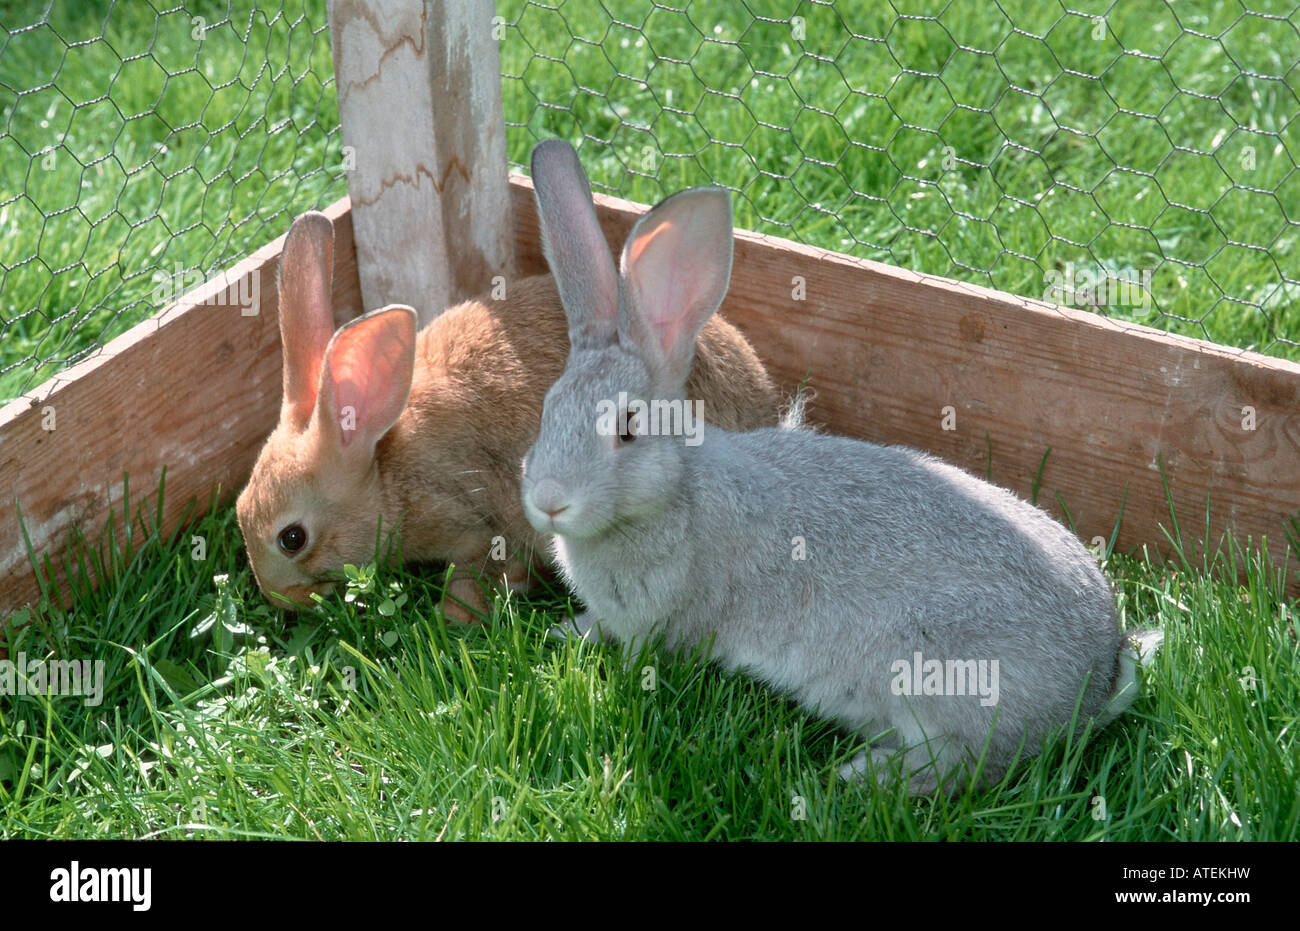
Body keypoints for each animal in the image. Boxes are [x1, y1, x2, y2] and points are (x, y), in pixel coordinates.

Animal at [235, 178, 783, 624]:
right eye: (239, 508)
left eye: (291, 538)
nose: (280, 598)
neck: (384, 466)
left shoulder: (467, 520)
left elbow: (477, 567)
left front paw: (458, 616)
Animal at [520, 138, 1152, 795]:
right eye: (546, 410)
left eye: (627, 429)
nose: (548, 500)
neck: (676, 493)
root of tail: (1096, 679)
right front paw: (566, 630)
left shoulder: (667, 620)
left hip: (939, 676)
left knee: (955, 765)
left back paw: (850, 776)